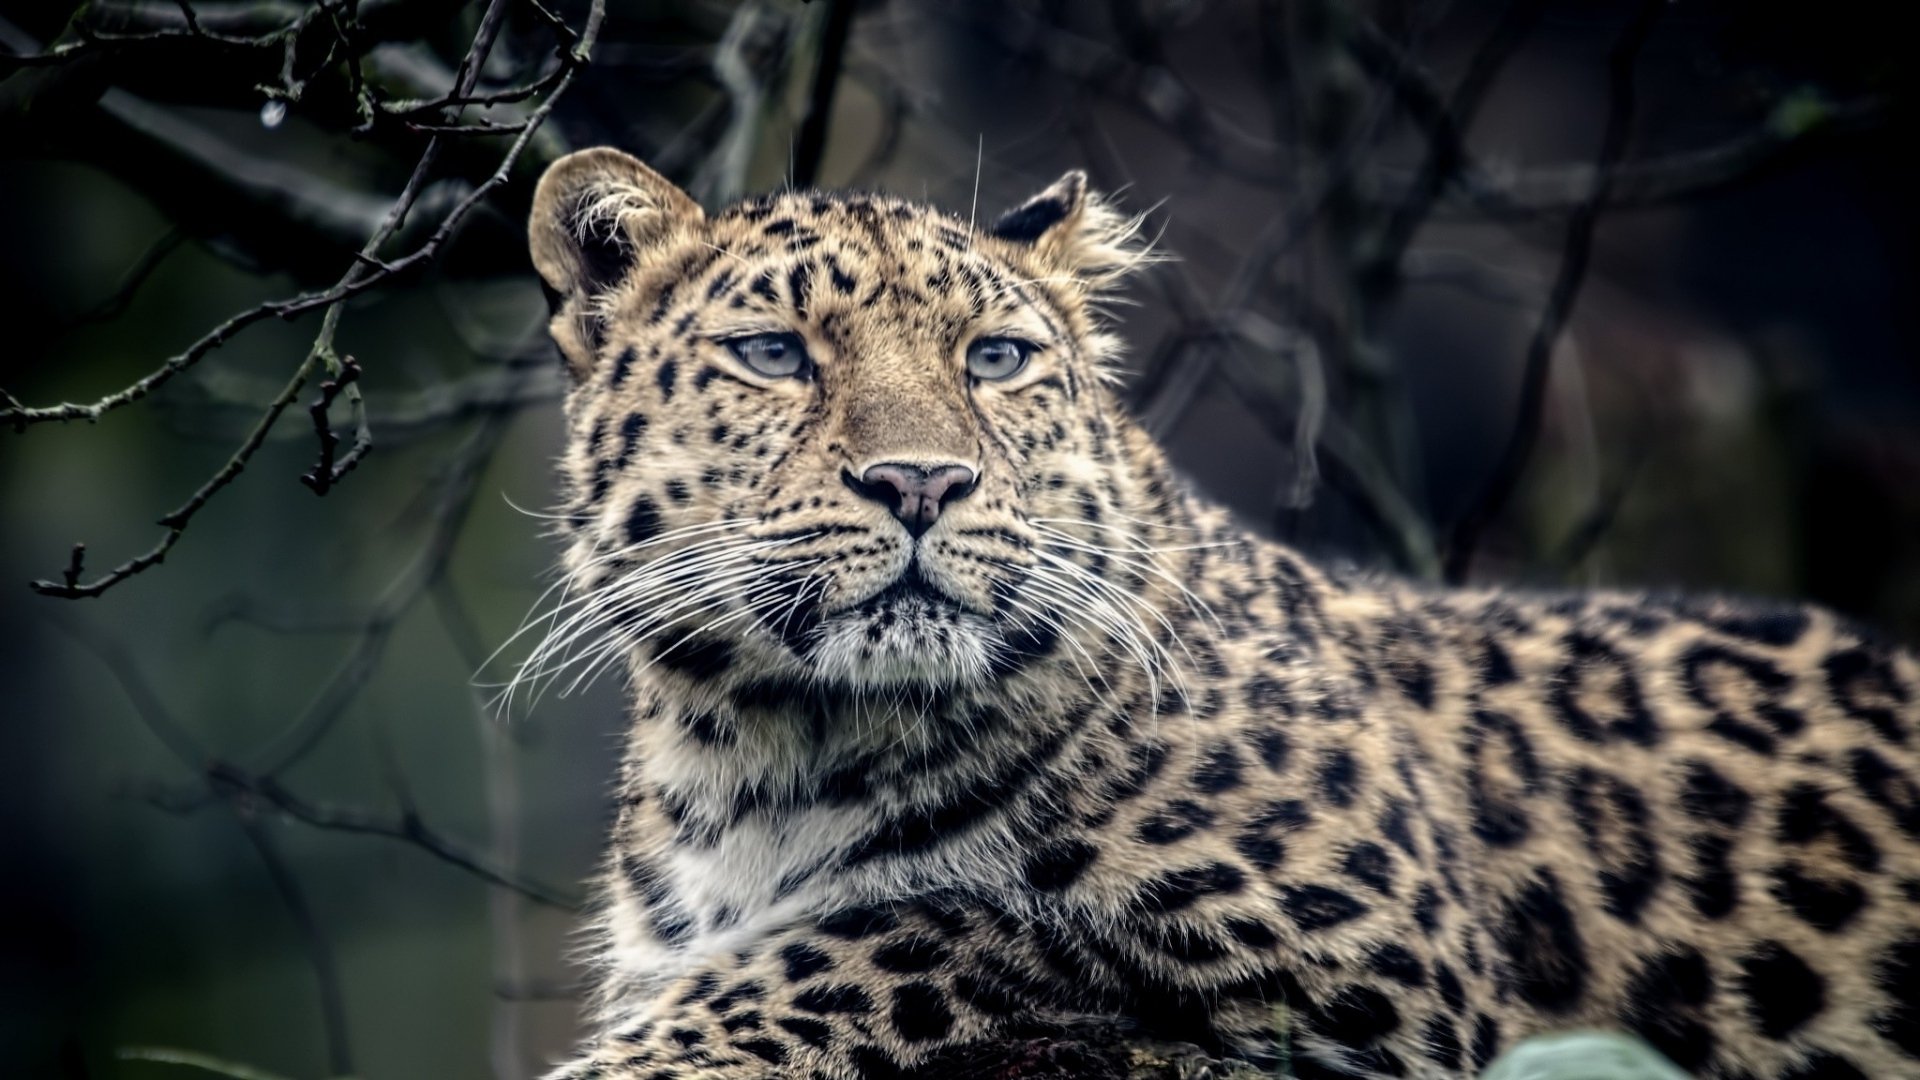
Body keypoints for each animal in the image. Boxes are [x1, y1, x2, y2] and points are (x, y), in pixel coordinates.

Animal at [520, 146, 1920, 1080]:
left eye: (994, 359)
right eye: (774, 355)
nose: (921, 482)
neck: (775, 749)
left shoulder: (1383, 967)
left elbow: (926, 927)